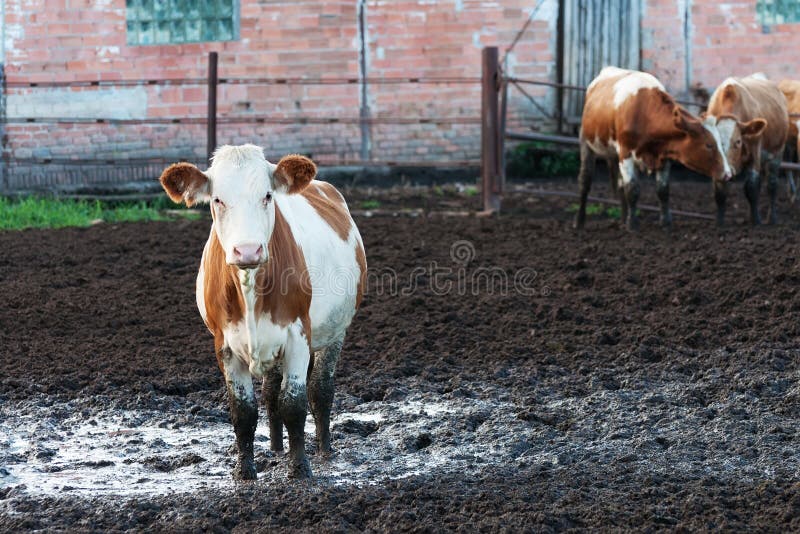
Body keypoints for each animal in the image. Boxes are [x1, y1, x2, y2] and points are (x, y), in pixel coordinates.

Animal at [159, 144, 367, 480]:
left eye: (268, 195)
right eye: (217, 199)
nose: (247, 250)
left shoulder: (298, 336)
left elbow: (293, 403)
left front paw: (299, 468)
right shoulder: (224, 344)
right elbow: (243, 411)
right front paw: (244, 472)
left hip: (335, 331)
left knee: (320, 390)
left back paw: (324, 450)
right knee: (270, 394)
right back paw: (276, 448)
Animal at [576, 66, 732, 231]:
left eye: (721, 143)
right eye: (708, 145)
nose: (728, 174)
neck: (643, 112)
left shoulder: (664, 156)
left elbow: (663, 190)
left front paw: (665, 222)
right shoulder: (626, 154)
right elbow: (632, 189)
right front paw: (632, 224)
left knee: (619, 185)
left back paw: (623, 219)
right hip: (586, 142)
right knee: (585, 181)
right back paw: (579, 221)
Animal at [707, 74, 787, 225]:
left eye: (738, 142)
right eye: (713, 142)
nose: (727, 172)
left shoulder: (755, 153)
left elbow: (752, 187)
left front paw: (756, 221)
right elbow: (719, 191)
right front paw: (719, 222)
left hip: (776, 153)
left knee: (772, 185)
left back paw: (771, 218)